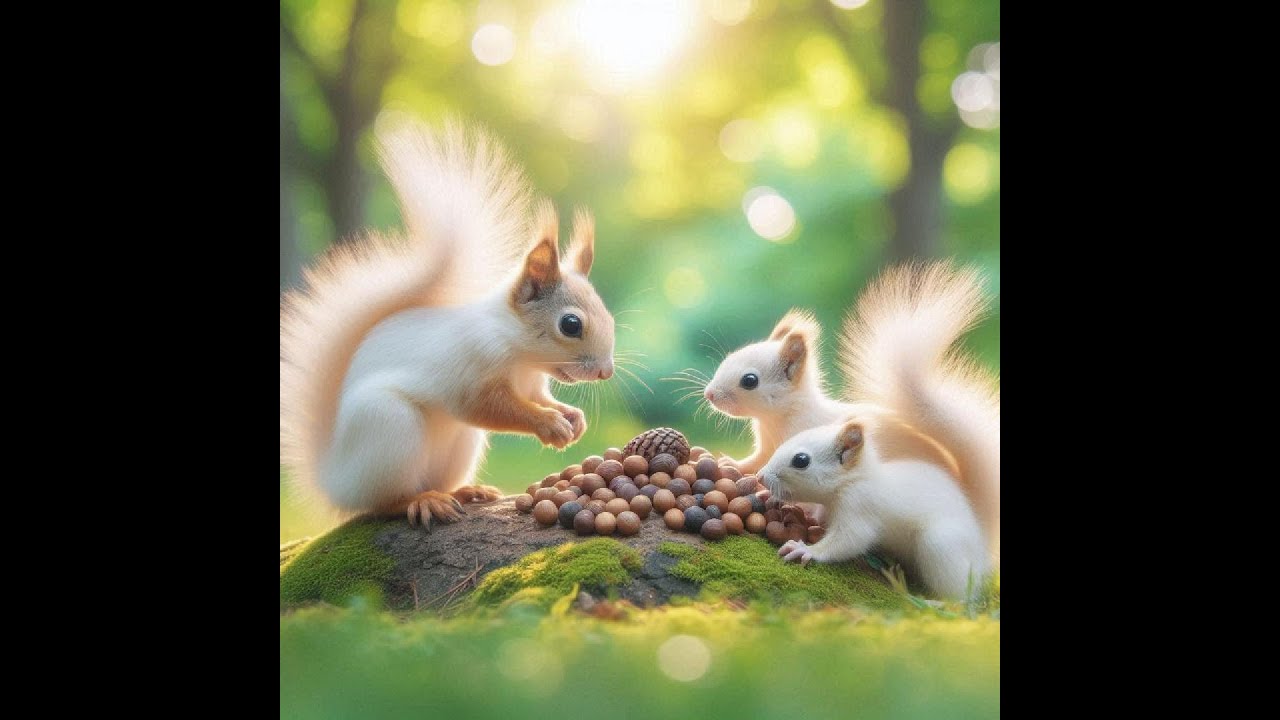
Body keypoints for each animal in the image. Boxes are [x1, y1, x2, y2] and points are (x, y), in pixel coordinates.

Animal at [280, 121, 616, 529]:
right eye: (570, 324)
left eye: (608, 315)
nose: (605, 371)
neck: (517, 350)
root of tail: (336, 479)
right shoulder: (469, 371)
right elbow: (491, 407)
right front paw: (549, 423)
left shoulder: (532, 384)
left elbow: (539, 398)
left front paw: (572, 417)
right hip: (389, 427)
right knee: (383, 502)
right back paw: (423, 501)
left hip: (461, 445)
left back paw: (466, 491)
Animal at [754, 262, 1000, 600]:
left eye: (801, 460)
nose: (760, 477)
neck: (852, 482)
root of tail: (982, 546)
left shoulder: (860, 509)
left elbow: (847, 542)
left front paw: (806, 550)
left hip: (940, 546)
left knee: (962, 598)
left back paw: (933, 602)